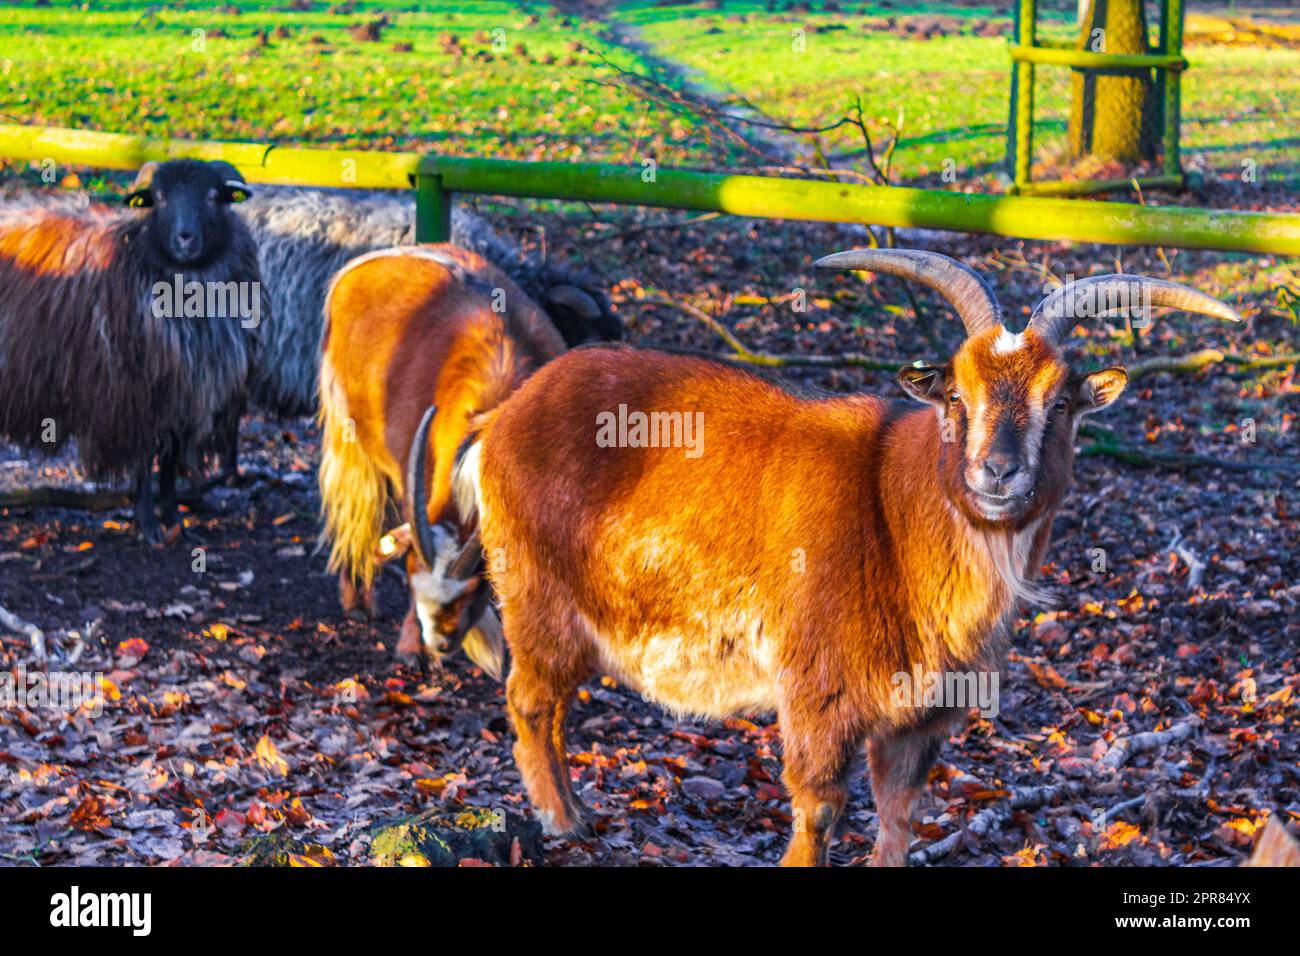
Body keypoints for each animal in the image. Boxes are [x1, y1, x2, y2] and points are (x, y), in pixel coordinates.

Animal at [0, 160, 264, 542]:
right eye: (160, 197)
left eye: (214, 196)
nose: (185, 238)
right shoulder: (133, 396)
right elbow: (142, 463)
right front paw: (148, 525)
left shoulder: (180, 396)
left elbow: (168, 464)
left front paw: (173, 518)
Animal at [318, 244, 621, 677]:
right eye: (410, 576)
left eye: (477, 589)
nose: (440, 643)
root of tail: (371, 262)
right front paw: (410, 647)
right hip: (349, 435)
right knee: (357, 511)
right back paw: (356, 598)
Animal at [425, 249, 1239, 865]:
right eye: (957, 397)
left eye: (1061, 403)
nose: (997, 474)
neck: (897, 516)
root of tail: (505, 417)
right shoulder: (819, 691)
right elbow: (818, 811)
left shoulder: (921, 718)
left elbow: (899, 815)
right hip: (538, 594)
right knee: (531, 699)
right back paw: (564, 820)